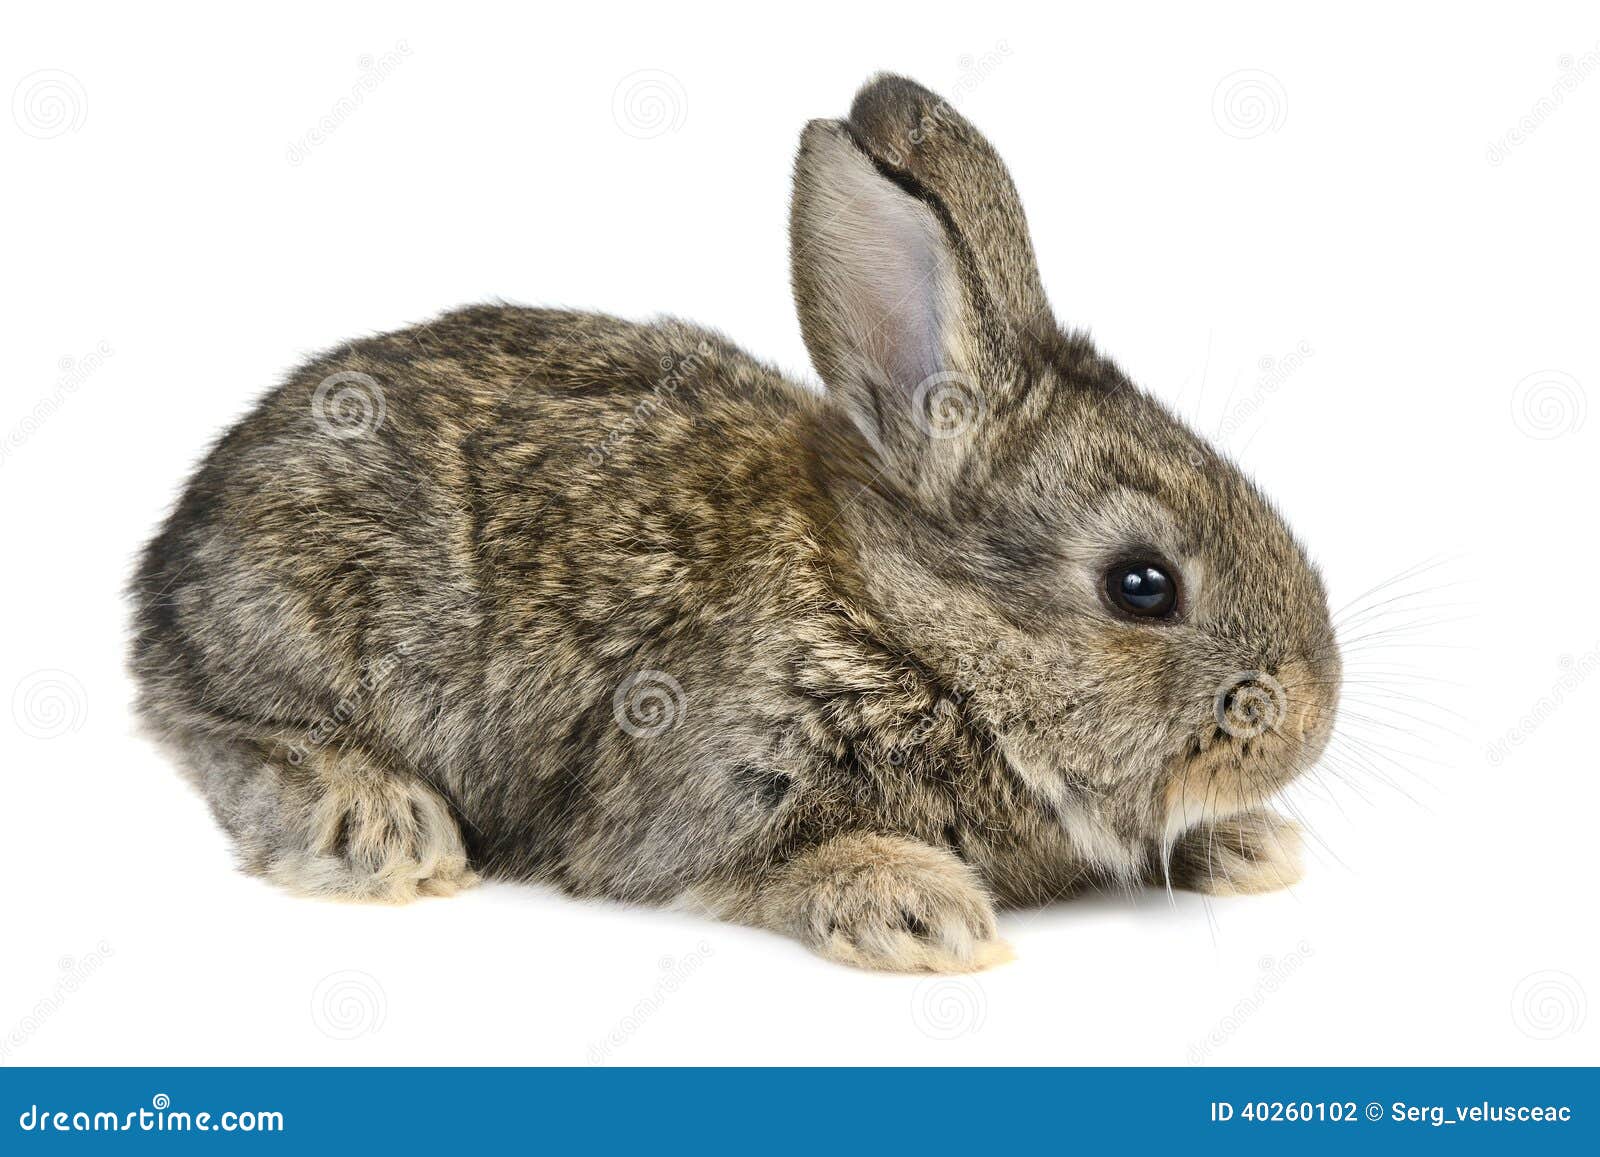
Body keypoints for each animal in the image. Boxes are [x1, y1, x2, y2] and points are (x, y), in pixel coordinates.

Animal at [130, 74, 1340, 972]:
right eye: (1142, 585)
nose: (1308, 721)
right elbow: (746, 869)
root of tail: (168, 557)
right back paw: (381, 826)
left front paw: (1247, 846)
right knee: (225, 729)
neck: (905, 627)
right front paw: (918, 908)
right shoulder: (702, 794)